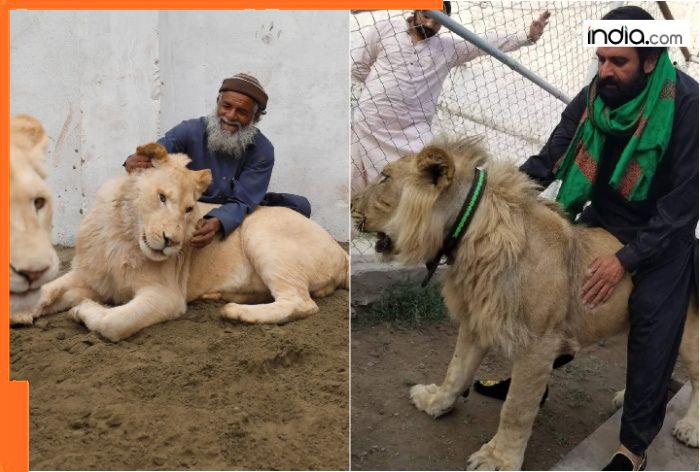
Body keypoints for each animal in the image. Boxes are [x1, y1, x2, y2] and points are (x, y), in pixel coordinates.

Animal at [33, 143, 349, 342]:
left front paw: (82, 310)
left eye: (188, 209)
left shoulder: (166, 296)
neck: (122, 233)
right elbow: (49, 290)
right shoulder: (92, 275)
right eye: (162, 197)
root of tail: (342, 253)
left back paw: (235, 312)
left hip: (263, 234)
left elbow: (114, 322)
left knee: (300, 303)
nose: (171, 241)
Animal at [351, 137, 698, 470]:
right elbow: (457, 369)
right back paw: (626, 398)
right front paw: (437, 401)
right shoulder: (477, 318)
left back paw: (689, 429)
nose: (352, 205)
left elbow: (516, 408)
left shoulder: (539, 345)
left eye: (385, 177)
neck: (473, 238)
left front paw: (498, 459)